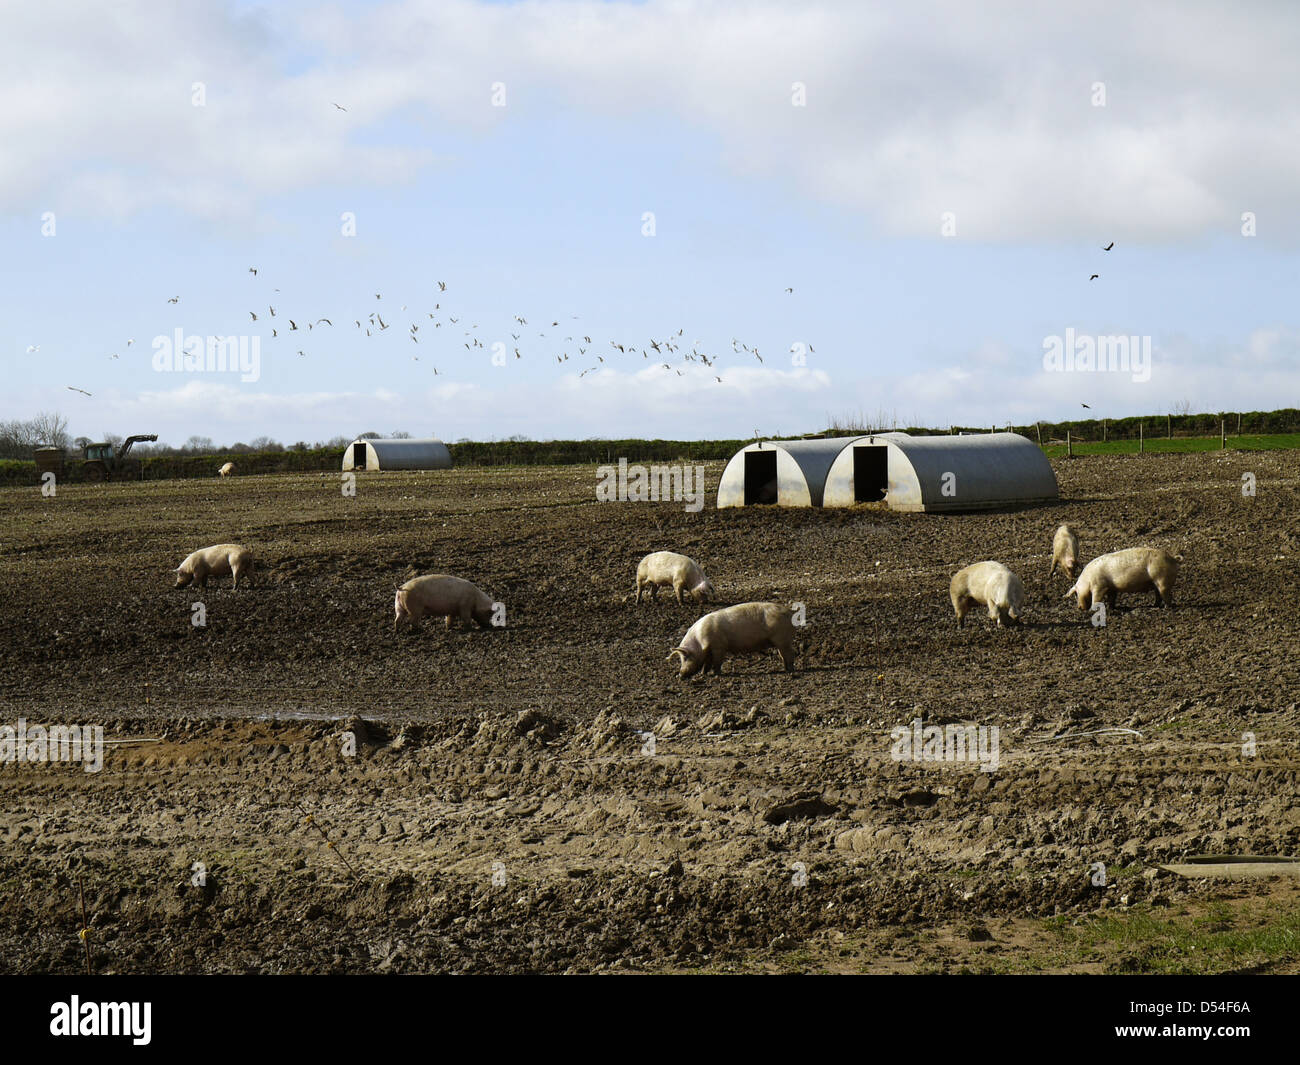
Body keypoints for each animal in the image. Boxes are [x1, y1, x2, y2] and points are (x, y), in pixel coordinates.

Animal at [666, 602, 796, 679]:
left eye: (685, 657)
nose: (680, 675)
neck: (699, 641)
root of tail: (790, 612)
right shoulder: (710, 649)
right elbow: (707, 662)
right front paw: (704, 674)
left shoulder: (719, 646)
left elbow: (717, 661)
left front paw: (716, 674)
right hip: (781, 641)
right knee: (783, 655)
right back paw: (785, 669)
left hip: (782, 639)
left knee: (790, 654)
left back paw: (790, 671)